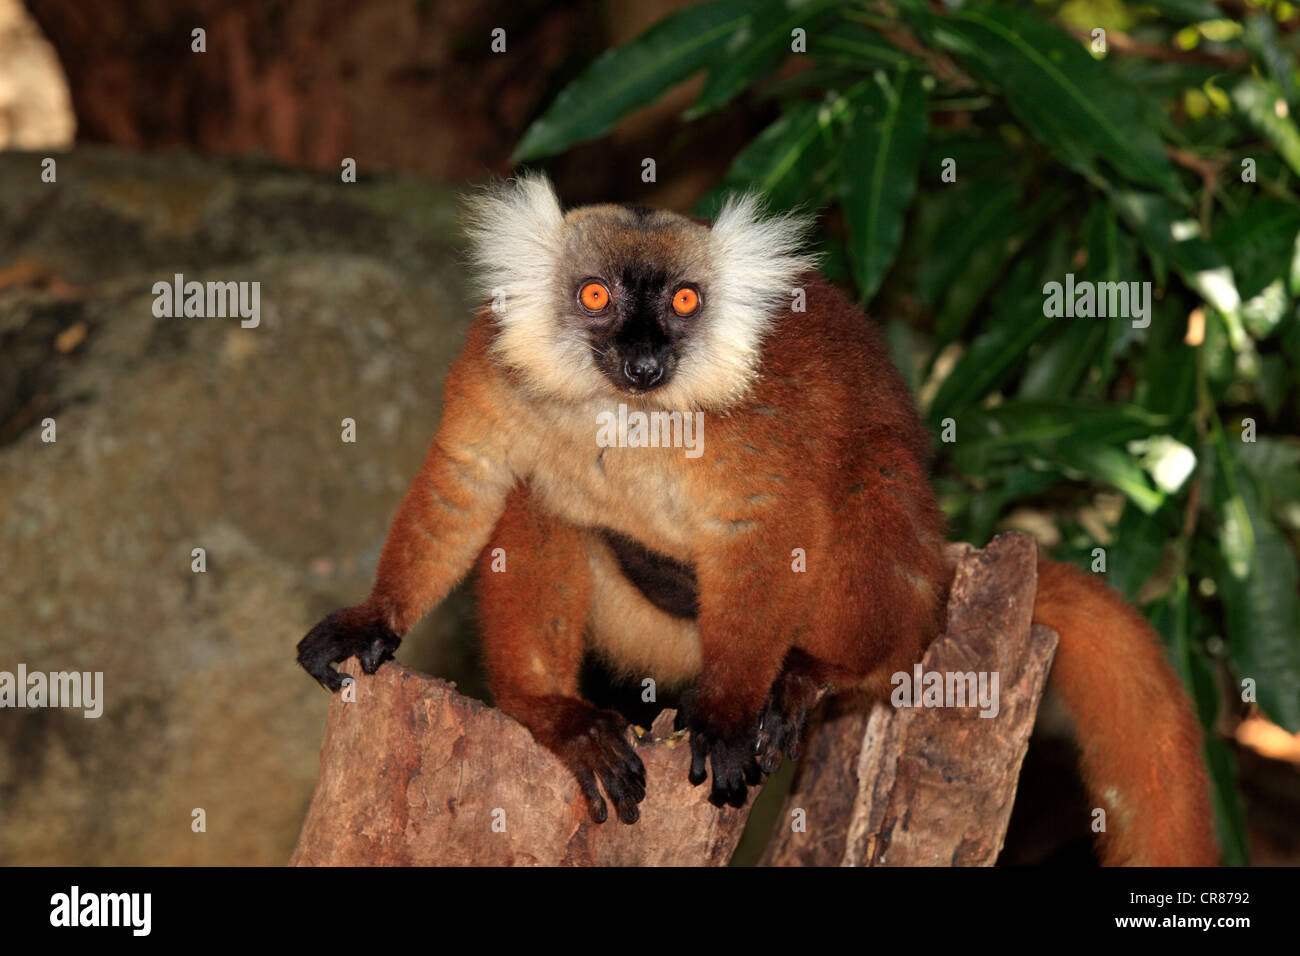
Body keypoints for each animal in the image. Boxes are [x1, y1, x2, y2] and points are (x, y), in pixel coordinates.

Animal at [296, 174, 1218, 865]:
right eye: (596, 295)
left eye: (684, 301)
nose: (645, 359)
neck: (628, 410)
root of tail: (943, 581)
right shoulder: (493, 365)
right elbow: (470, 480)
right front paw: (372, 620)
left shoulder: (750, 427)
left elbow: (768, 529)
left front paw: (732, 718)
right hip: (656, 632)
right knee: (536, 499)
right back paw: (555, 714)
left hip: (891, 599)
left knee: (868, 484)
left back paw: (816, 673)